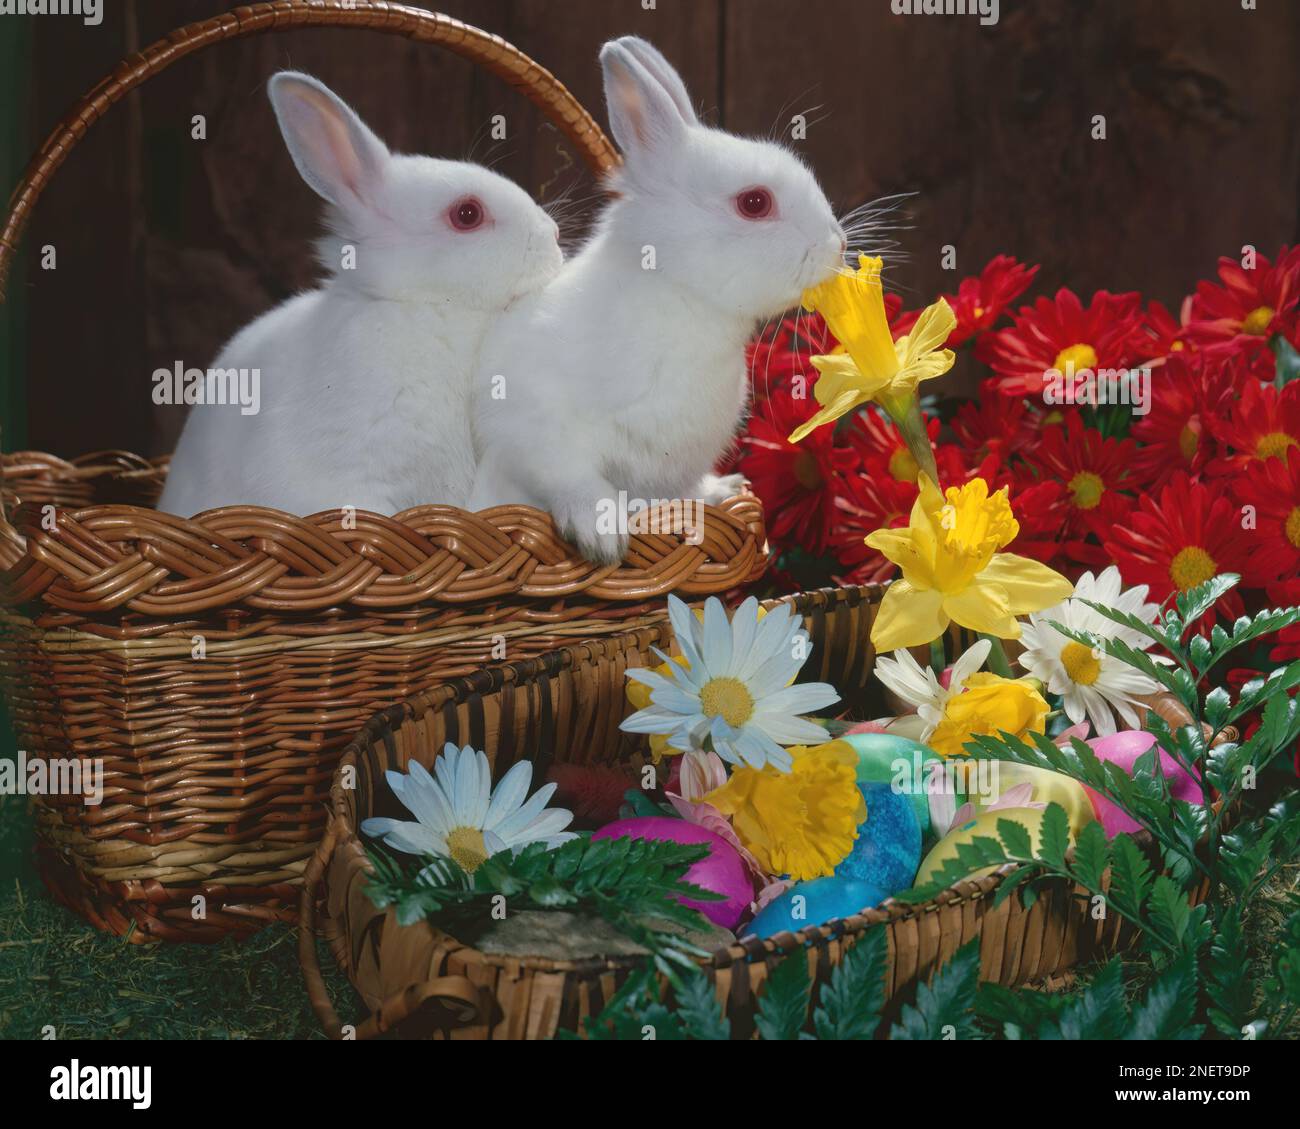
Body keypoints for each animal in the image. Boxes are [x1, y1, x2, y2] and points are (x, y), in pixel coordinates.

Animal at [469, 36, 846, 564]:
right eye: (754, 203)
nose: (839, 244)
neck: (682, 296)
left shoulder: (675, 466)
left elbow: (680, 491)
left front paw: (723, 491)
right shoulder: (535, 425)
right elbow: (572, 477)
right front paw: (601, 534)